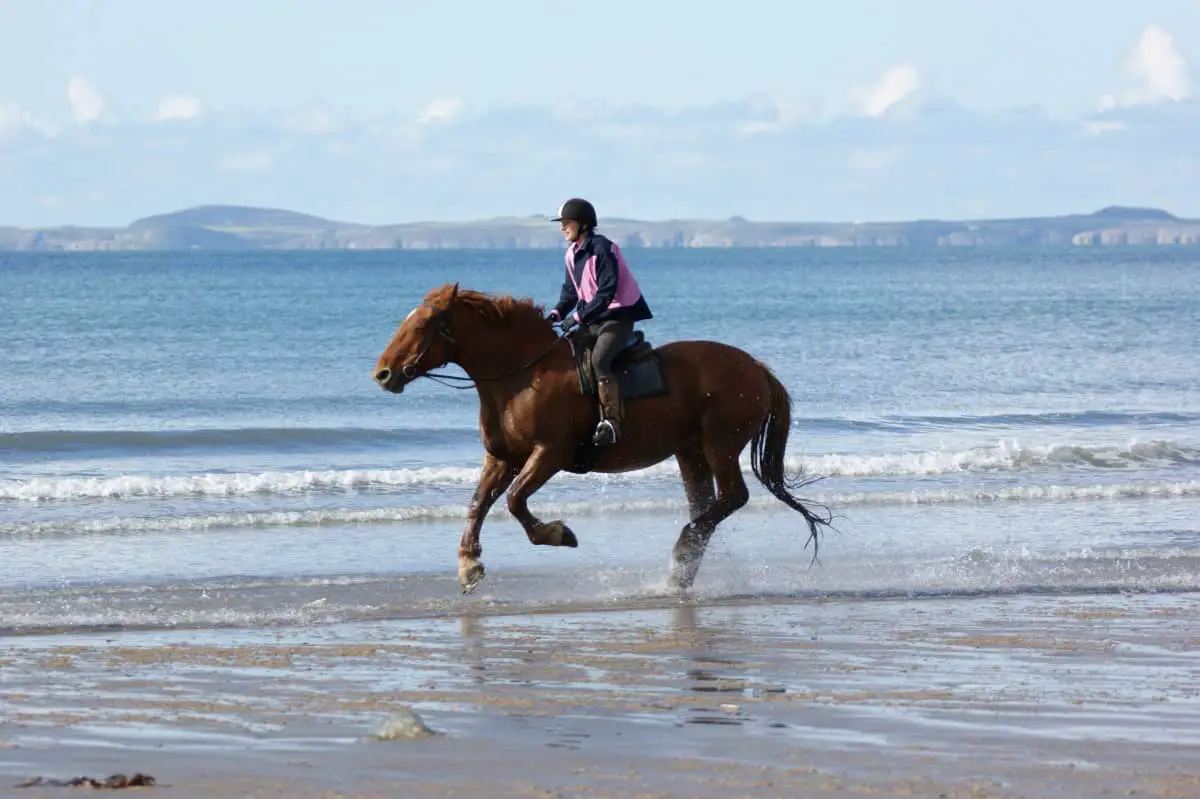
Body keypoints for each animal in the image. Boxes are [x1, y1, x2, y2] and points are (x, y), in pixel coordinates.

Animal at [372, 282, 833, 594]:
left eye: (425, 324)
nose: (383, 374)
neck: (520, 375)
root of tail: (758, 369)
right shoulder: (502, 457)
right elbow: (477, 504)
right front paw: (468, 565)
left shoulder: (549, 454)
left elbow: (515, 501)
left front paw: (558, 534)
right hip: (690, 452)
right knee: (707, 506)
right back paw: (681, 570)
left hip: (719, 444)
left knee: (732, 497)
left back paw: (681, 549)